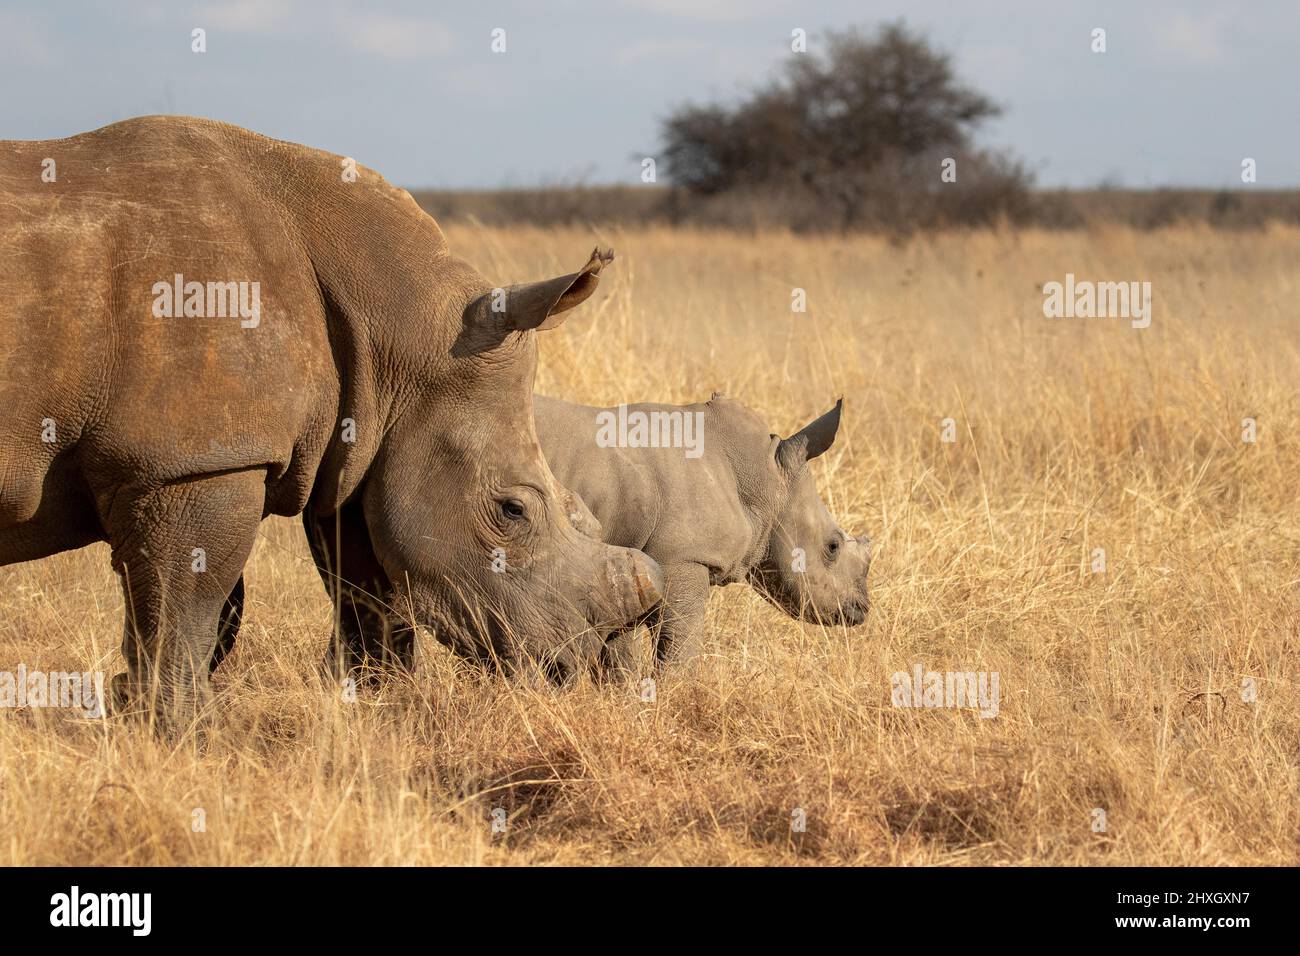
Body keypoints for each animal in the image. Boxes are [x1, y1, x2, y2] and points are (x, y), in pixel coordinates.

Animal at [0, 116, 664, 726]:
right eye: (512, 511)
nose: (574, 668)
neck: (400, 325)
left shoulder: (341, 439)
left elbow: (349, 587)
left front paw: (374, 705)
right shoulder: (193, 460)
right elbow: (186, 610)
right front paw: (179, 735)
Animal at [532, 393, 872, 672]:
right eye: (832, 546)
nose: (861, 610)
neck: (766, 478)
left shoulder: (625, 552)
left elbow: (620, 647)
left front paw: (623, 694)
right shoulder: (683, 557)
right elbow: (680, 641)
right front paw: (672, 694)